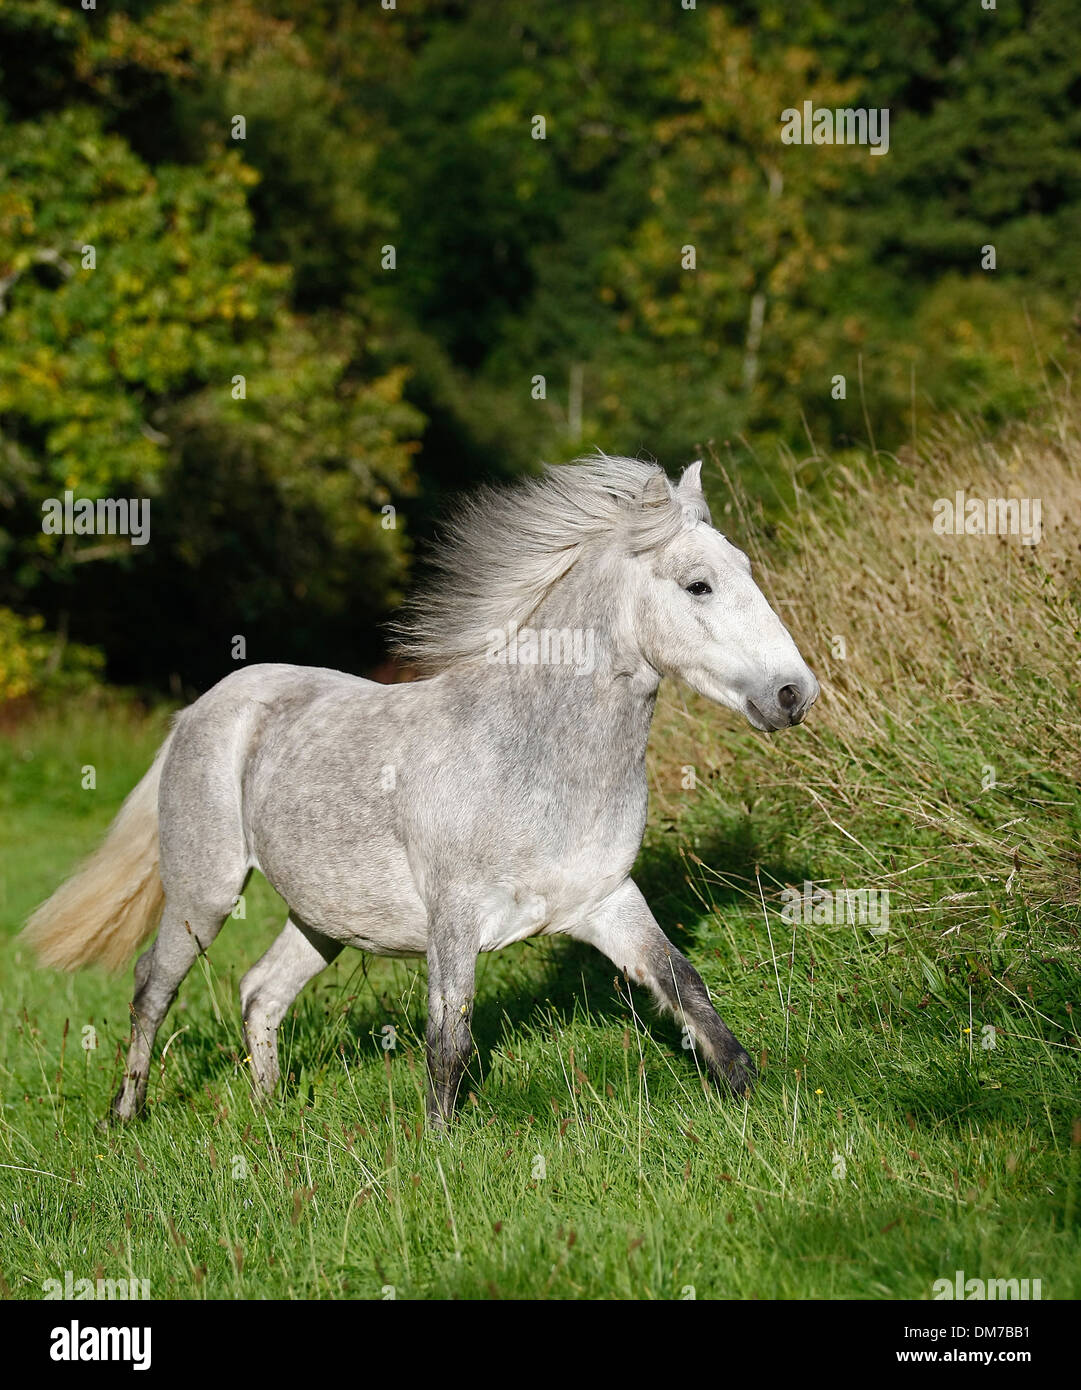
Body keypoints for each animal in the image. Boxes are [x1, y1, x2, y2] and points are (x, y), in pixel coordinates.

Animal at [22, 456, 819, 1127]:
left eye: (745, 570)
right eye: (698, 585)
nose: (794, 694)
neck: (535, 755)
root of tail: (203, 708)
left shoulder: (605, 901)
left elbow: (686, 987)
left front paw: (753, 1097)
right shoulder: (454, 917)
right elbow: (448, 1040)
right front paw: (438, 1145)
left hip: (321, 919)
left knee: (260, 991)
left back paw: (269, 1114)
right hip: (204, 893)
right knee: (153, 987)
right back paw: (126, 1116)